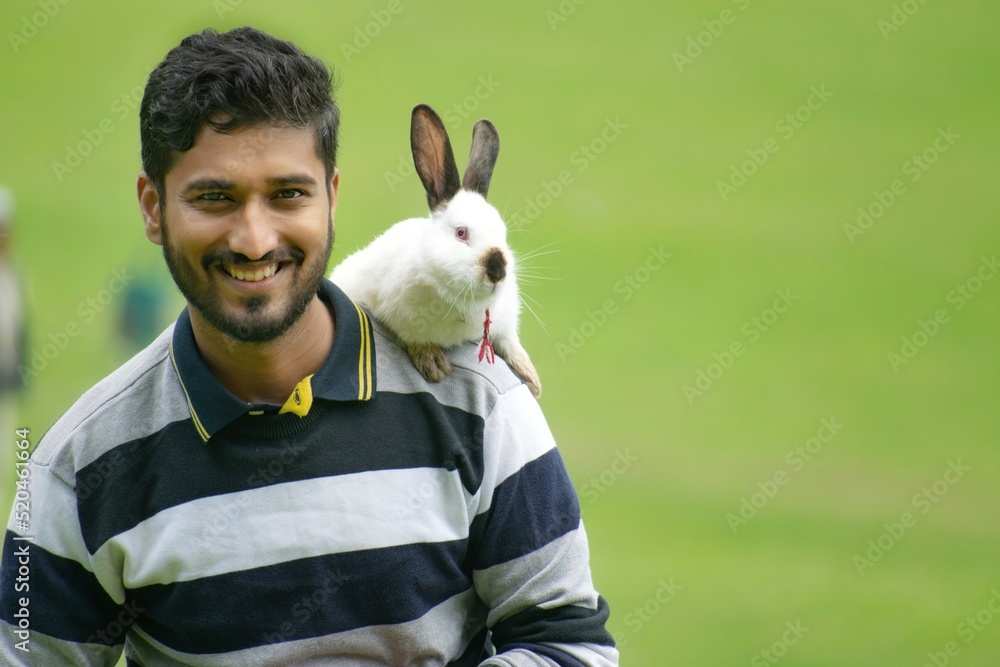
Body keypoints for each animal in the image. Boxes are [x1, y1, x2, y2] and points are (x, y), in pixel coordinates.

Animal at [330, 104, 541, 398]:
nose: (498, 271)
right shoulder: (399, 315)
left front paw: (531, 377)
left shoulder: (505, 320)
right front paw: (433, 365)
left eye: (503, 233)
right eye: (461, 233)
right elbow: (415, 338)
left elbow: (510, 341)